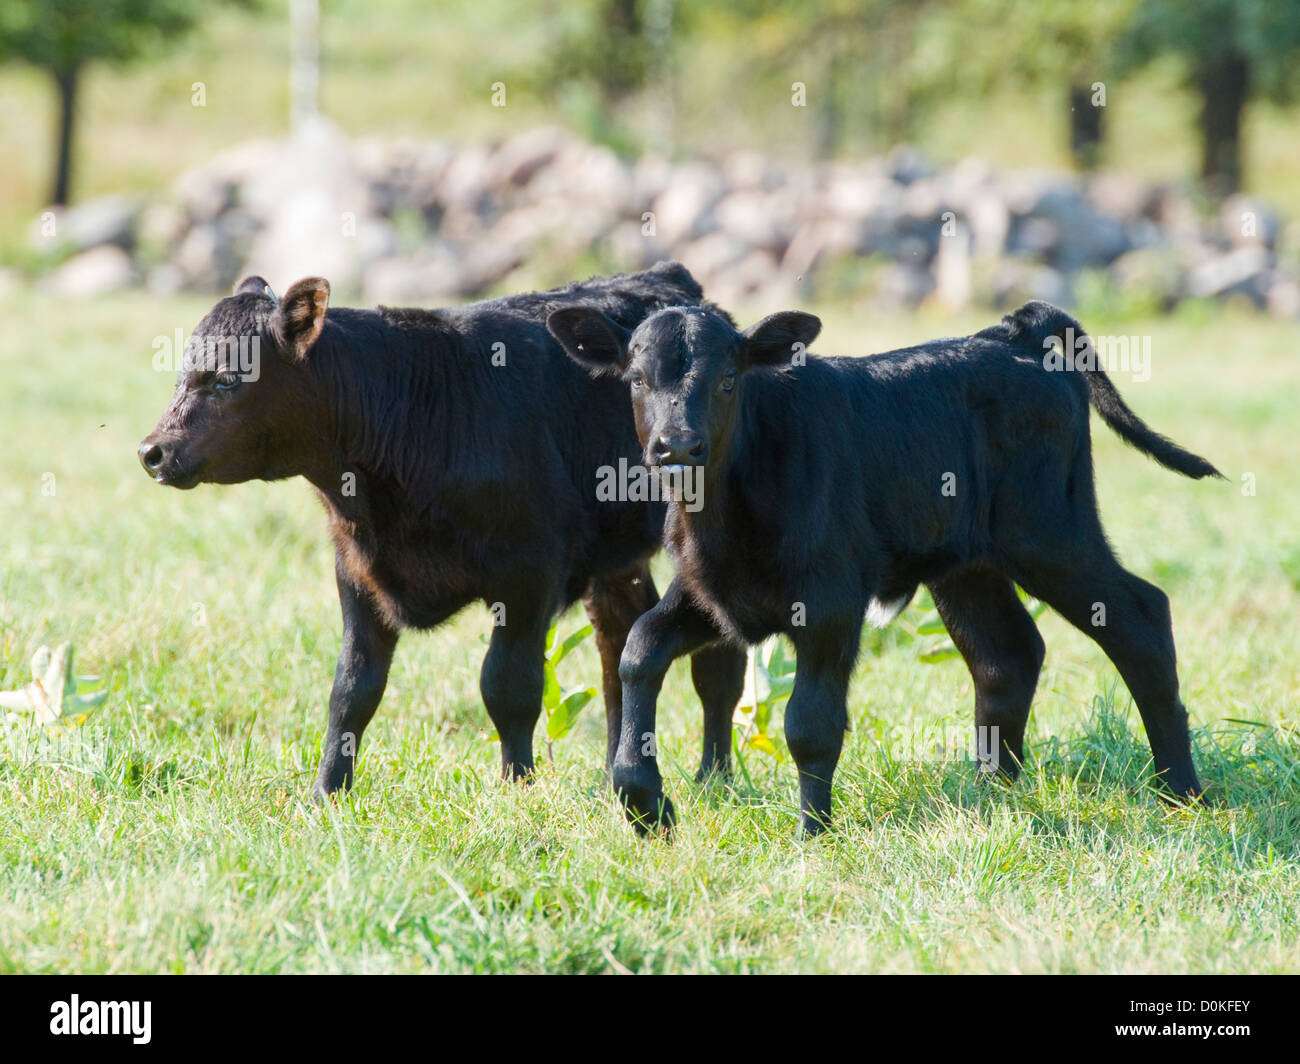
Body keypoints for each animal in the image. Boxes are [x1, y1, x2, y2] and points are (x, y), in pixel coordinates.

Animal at [138, 263, 747, 802]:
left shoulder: (528, 575)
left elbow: (508, 687)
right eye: (184, 373)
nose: (152, 450)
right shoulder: (356, 571)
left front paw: (516, 789)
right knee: (618, 640)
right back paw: (609, 776)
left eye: (227, 379)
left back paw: (713, 778)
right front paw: (325, 793)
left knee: (716, 664)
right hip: (614, 560)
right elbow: (352, 690)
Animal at [547, 299, 1222, 835]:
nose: (677, 448)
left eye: (728, 380)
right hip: (968, 564)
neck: (721, 515)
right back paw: (994, 793)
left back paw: (1180, 792)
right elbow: (638, 650)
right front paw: (644, 805)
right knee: (1006, 654)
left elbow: (810, 723)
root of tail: (1009, 335)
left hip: (1051, 532)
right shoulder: (710, 593)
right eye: (636, 378)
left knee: (1140, 616)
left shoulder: (829, 603)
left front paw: (813, 835)